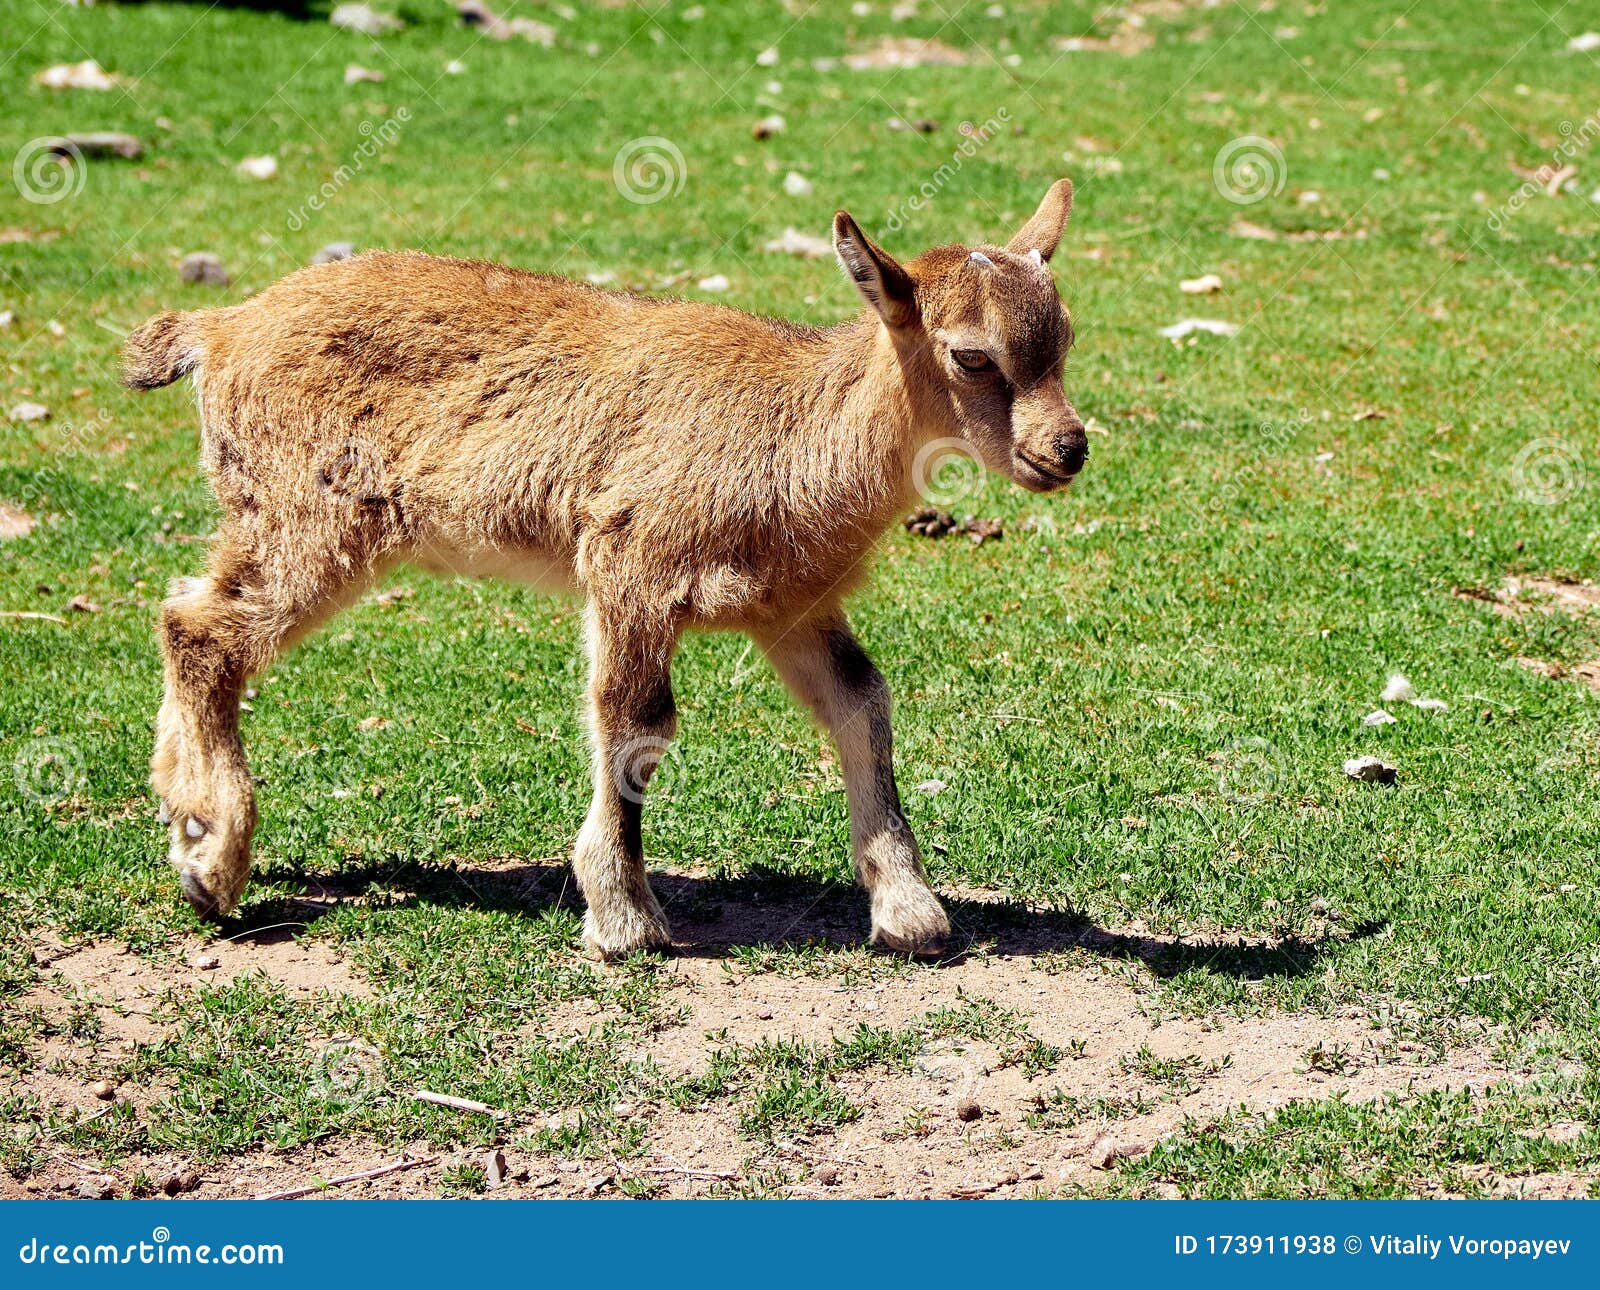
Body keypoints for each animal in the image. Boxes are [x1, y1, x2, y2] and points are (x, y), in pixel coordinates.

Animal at [121, 178, 1086, 959]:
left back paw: (184, 817)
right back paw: (217, 863)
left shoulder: (791, 607)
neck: (793, 435)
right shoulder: (632, 566)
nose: (1067, 448)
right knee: (207, 630)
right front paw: (623, 917)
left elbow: (863, 703)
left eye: (1065, 336)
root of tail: (219, 329)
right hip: (316, 520)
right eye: (971, 353)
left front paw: (910, 913)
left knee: (185, 609)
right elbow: (636, 722)